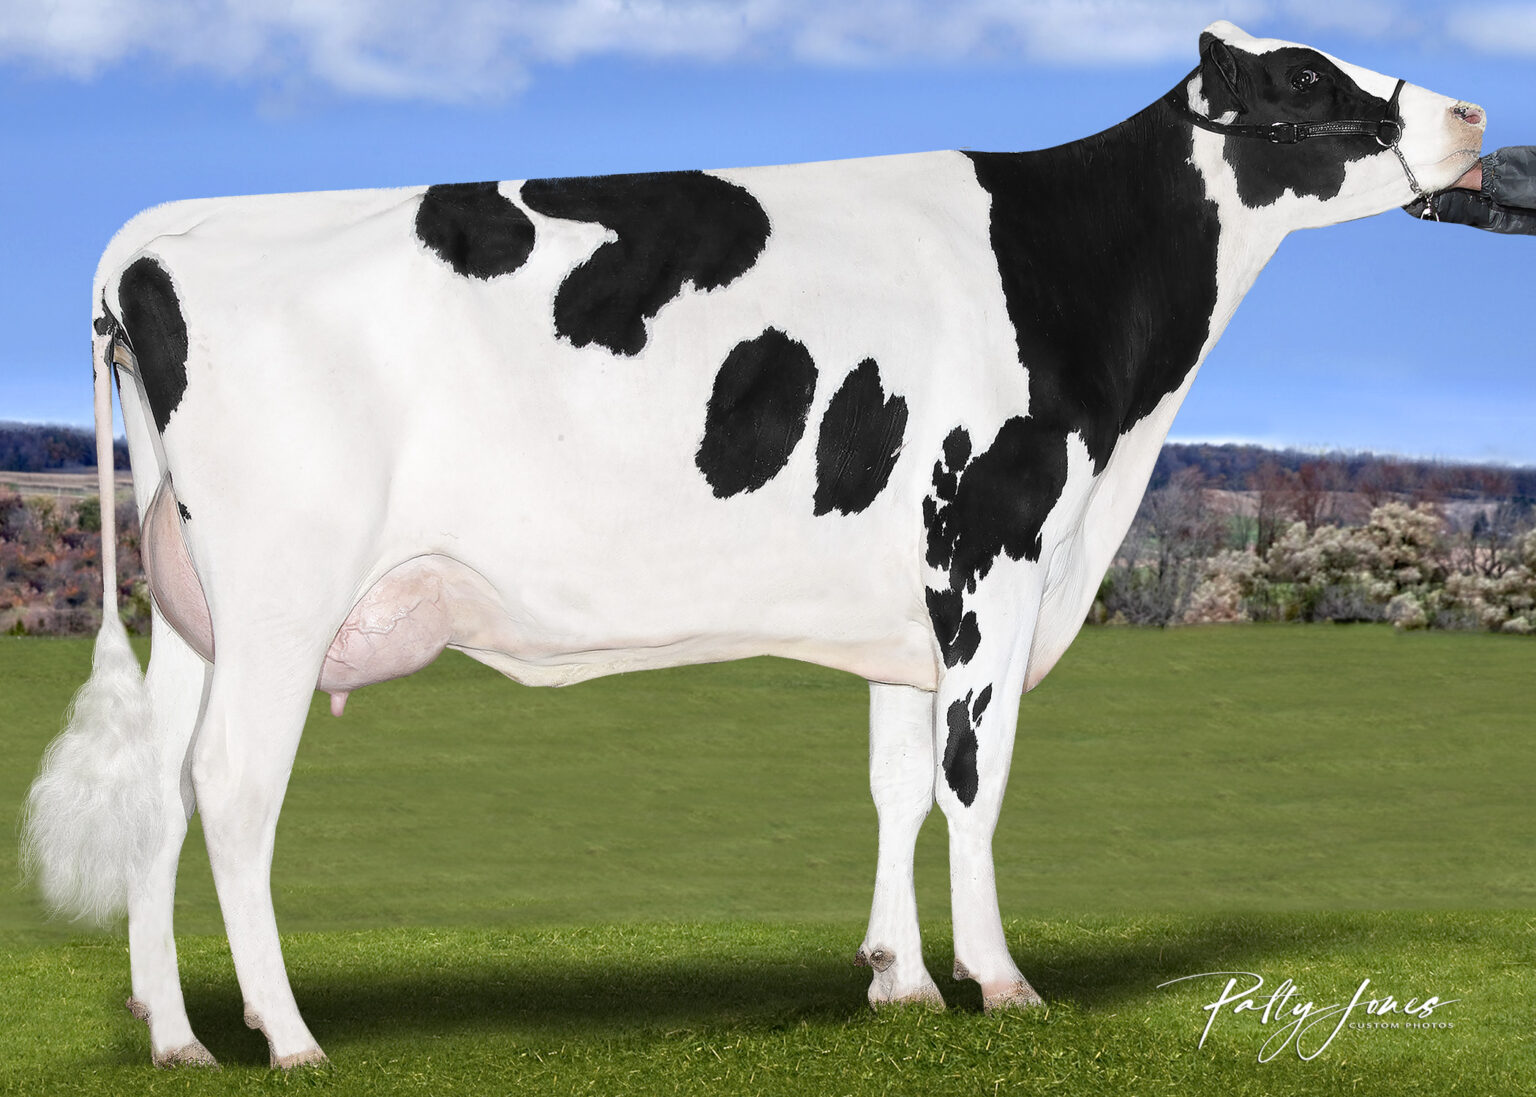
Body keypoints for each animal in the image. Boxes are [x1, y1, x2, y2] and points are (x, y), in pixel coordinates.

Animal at [23, 21, 1487, 1069]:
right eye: (1306, 74)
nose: (1473, 117)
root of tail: (163, 235)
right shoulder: (993, 553)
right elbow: (974, 779)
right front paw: (1001, 980)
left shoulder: (911, 607)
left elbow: (899, 785)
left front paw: (901, 980)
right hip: (283, 595)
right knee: (232, 789)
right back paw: (286, 1035)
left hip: (196, 607)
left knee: (162, 788)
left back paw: (175, 1035)